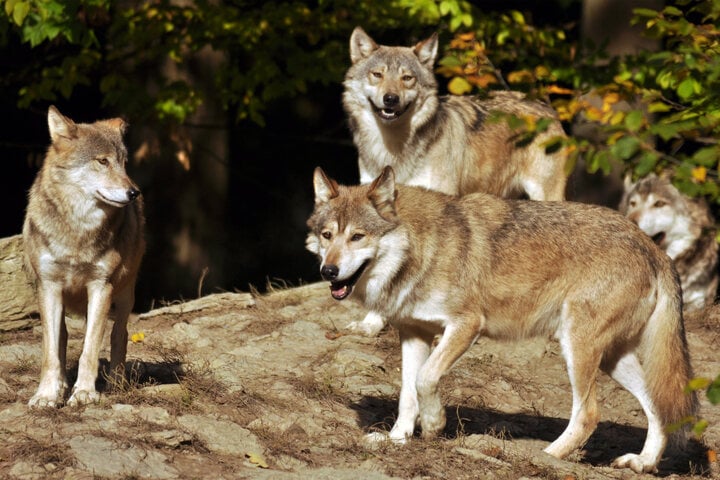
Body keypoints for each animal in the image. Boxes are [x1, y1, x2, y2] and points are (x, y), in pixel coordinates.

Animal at [23, 106, 145, 408]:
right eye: (102, 161)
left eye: (124, 163)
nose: (134, 192)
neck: (77, 233)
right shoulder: (48, 286)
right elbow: (50, 353)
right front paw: (47, 395)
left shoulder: (101, 286)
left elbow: (90, 350)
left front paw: (85, 393)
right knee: (63, 337)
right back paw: (62, 385)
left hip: (124, 295)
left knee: (118, 335)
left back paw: (116, 383)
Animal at [306, 166, 696, 474]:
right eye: (328, 236)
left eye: (358, 236)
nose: (329, 272)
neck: (421, 249)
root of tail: (654, 248)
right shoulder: (413, 333)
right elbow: (407, 392)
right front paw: (398, 439)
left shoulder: (466, 326)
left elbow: (426, 379)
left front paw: (433, 425)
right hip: (613, 360)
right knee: (660, 410)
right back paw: (643, 463)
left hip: (578, 348)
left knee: (588, 414)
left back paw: (546, 456)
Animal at [342, 26, 568, 336]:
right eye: (377, 74)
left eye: (407, 78)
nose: (390, 99)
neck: (396, 149)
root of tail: (542, 105)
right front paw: (372, 324)